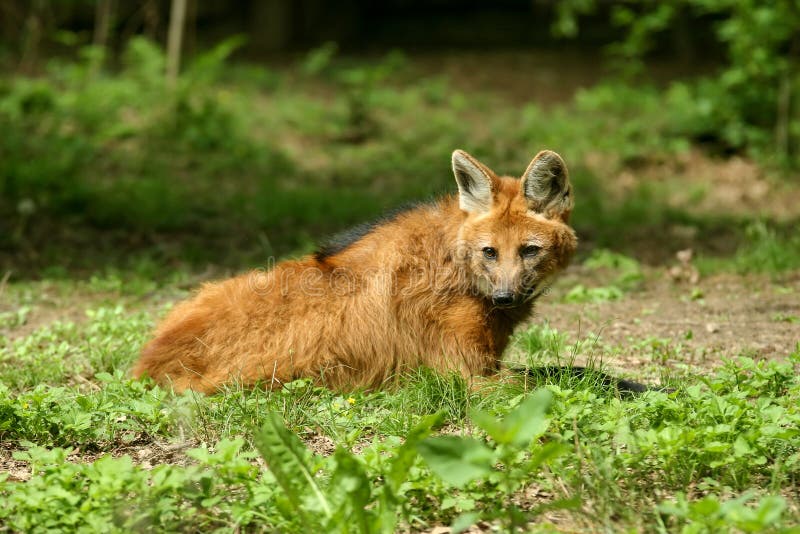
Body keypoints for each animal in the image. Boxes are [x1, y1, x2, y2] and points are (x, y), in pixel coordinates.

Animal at [133, 149, 578, 393]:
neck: (454, 265)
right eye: (490, 252)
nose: (504, 297)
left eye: (529, 250)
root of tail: (146, 364)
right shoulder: (467, 374)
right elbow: (559, 378)